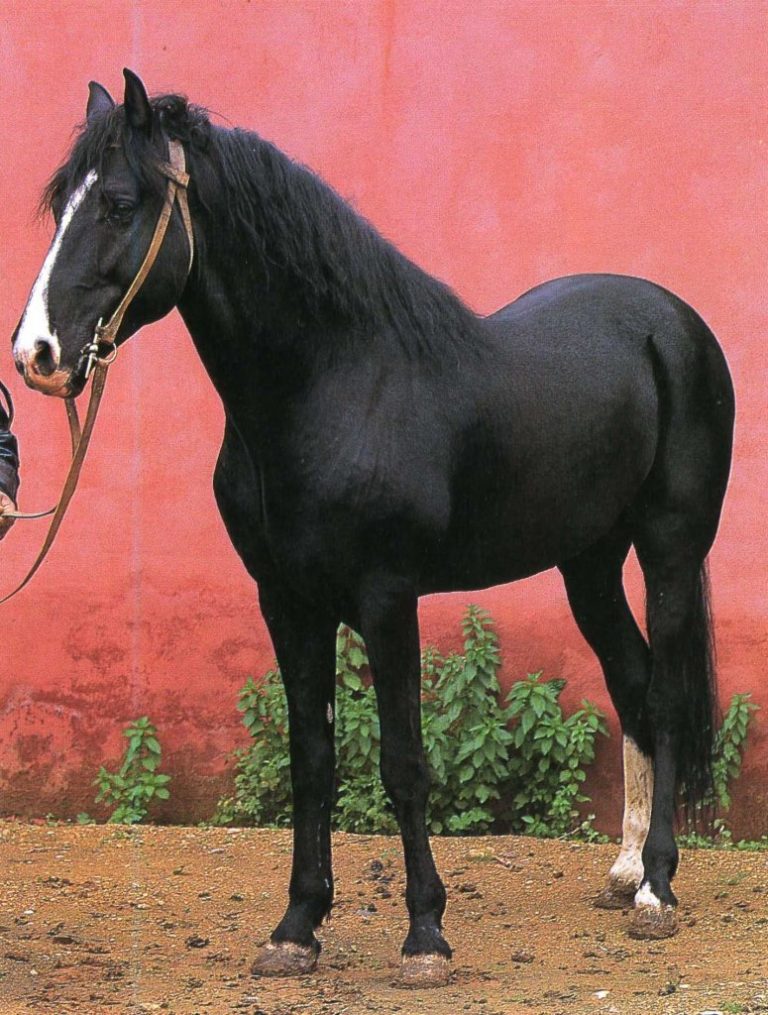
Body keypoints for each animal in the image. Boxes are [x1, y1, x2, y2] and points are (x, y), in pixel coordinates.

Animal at [11, 70, 734, 988]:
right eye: (58, 203)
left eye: (117, 202)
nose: (36, 354)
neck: (334, 384)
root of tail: (673, 322)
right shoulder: (287, 601)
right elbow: (312, 759)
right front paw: (296, 926)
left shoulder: (389, 599)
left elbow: (403, 762)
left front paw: (425, 934)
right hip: (589, 565)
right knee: (634, 683)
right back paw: (625, 869)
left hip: (670, 549)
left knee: (667, 694)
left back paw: (657, 889)